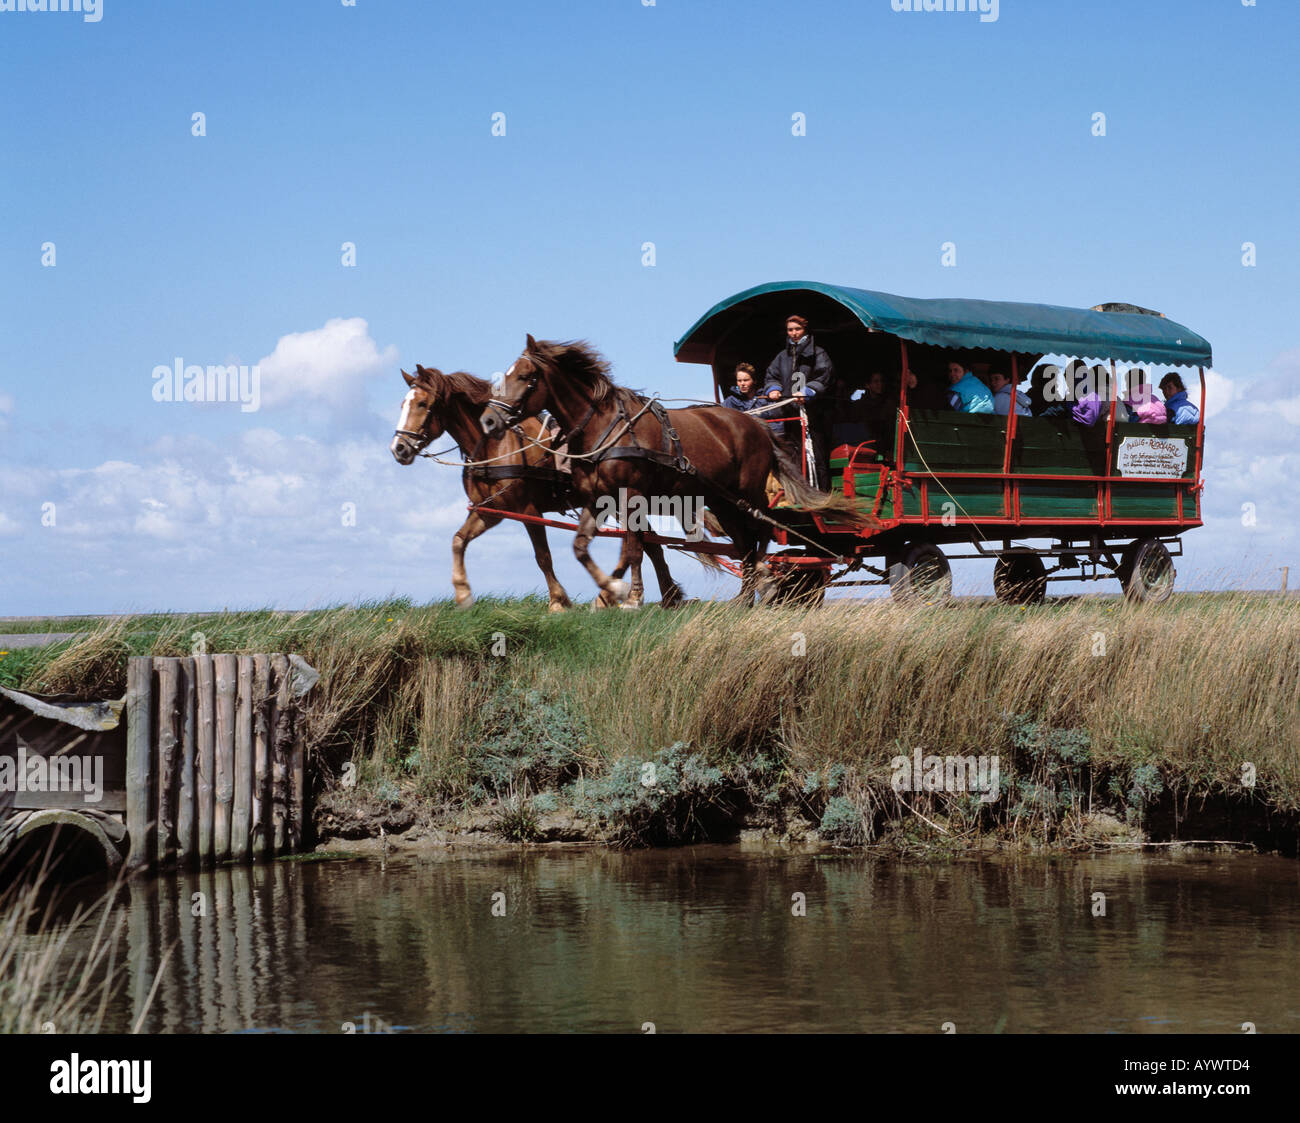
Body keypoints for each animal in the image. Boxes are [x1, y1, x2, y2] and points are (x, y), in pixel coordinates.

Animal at [389, 364, 688, 610]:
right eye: (403, 404)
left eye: (423, 403)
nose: (399, 448)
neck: (496, 445)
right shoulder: (489, 512)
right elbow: (458, 541)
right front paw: (463, 593)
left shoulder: (528, 510)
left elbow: (543, 556)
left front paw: (558, 601)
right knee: (648, 543)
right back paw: (664, 594)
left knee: (640, 543)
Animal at [478, 336, 867, 606]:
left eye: (526, 376)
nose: (489, 420)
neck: (603, 426)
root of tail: (756, 426)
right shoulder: (597, 499)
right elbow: (584, 547)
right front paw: (609, 591)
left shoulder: (631, 496)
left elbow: (634, 548)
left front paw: (629, 597)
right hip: (722, 501)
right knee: (744, 543)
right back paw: (744, 599)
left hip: (747, 494)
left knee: (760, 535)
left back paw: (765, 581)